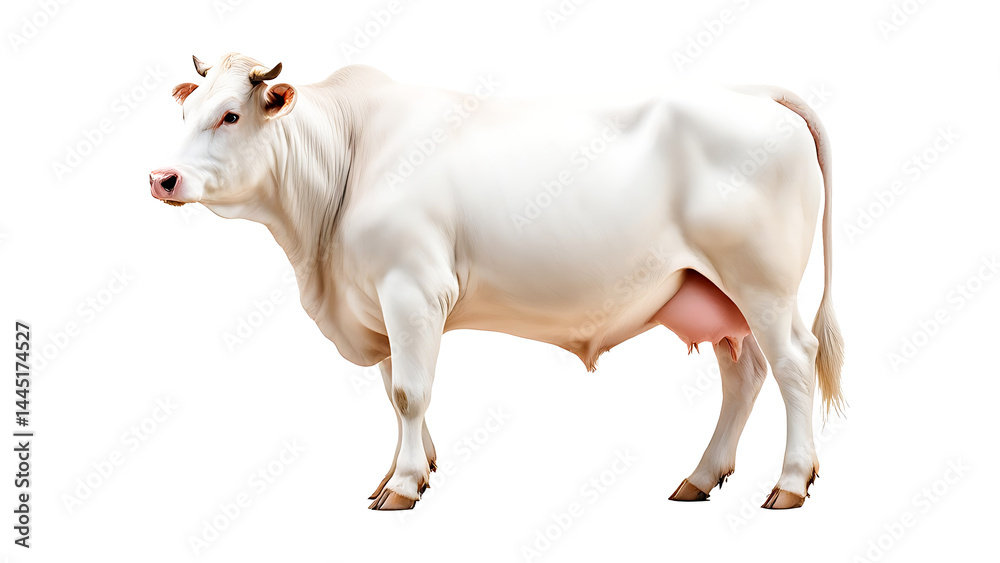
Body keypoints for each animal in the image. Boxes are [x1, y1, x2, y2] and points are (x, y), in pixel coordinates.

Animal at [151, 53, 844, 511]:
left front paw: (403, 486)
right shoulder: (376, 300)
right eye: (184, 110)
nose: (161, 177)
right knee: (745, 373)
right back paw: (700, 477)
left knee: (793, 363)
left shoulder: (411, 286)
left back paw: (790, 483)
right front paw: (410, 470)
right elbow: (395, 393)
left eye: (230, 115)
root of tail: (755, 92)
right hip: (716, 292)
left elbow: (409, 392)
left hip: (763, 283)